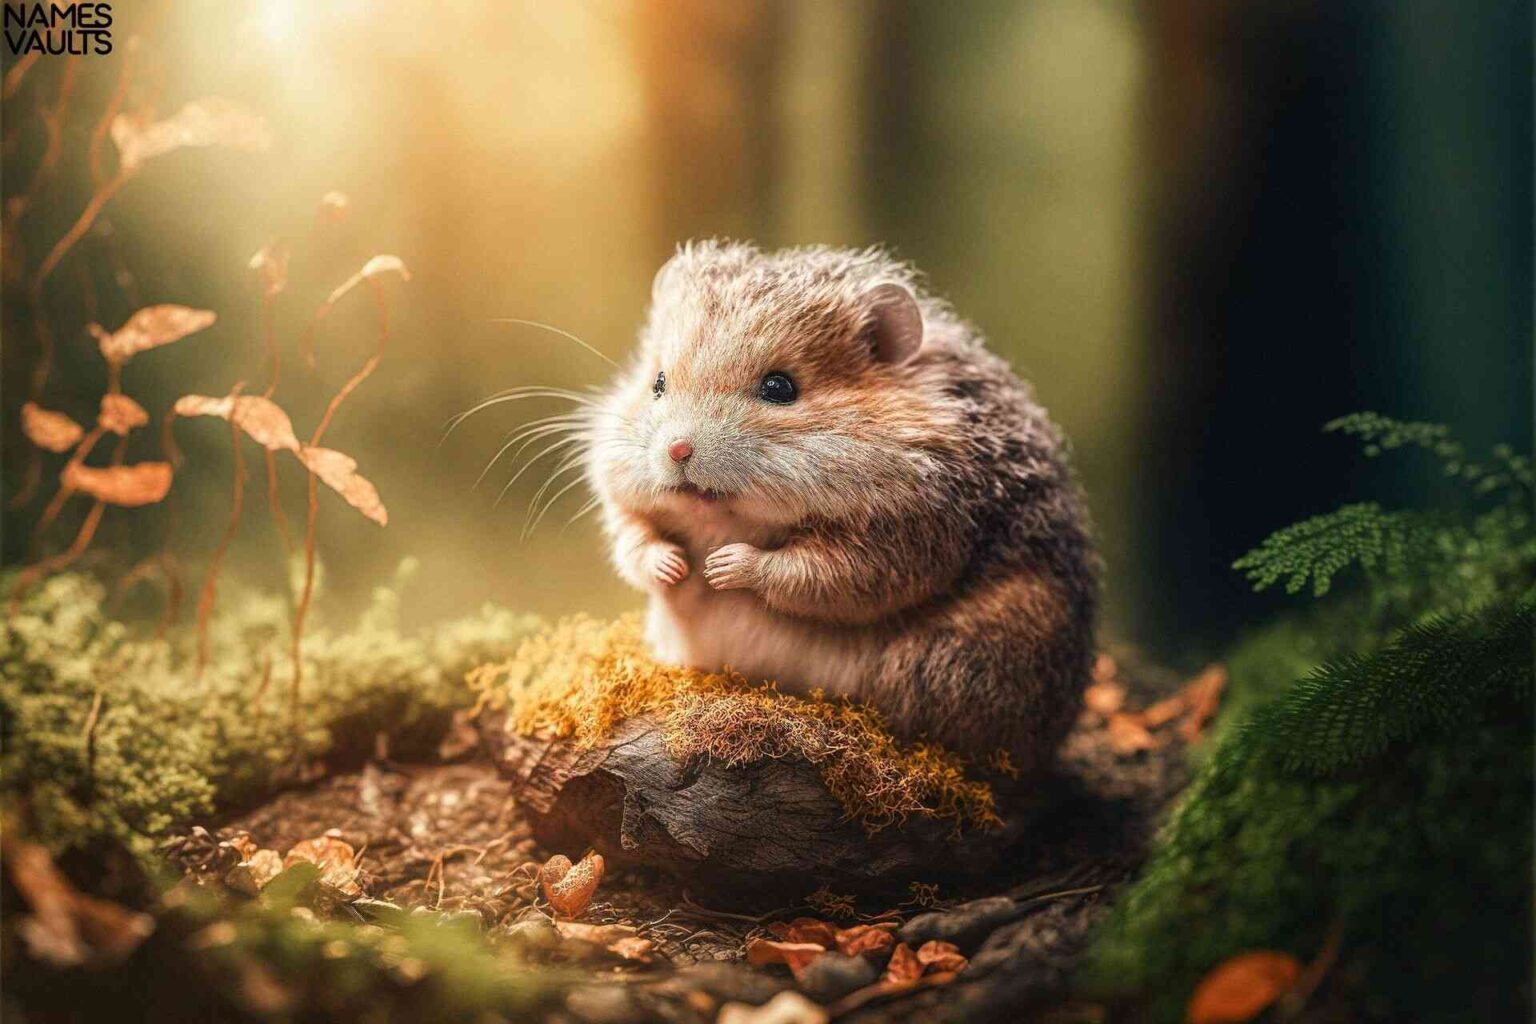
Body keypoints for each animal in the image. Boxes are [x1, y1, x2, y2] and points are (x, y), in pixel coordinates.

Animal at [585, 241, 1097, 775]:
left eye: (780, 387)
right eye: (658, 382)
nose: (677, 450)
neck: (724, 521)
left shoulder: (903, 541)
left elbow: (813, 573)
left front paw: (723, 567)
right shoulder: (619, 490)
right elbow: (634, 539)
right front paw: (675, 567)